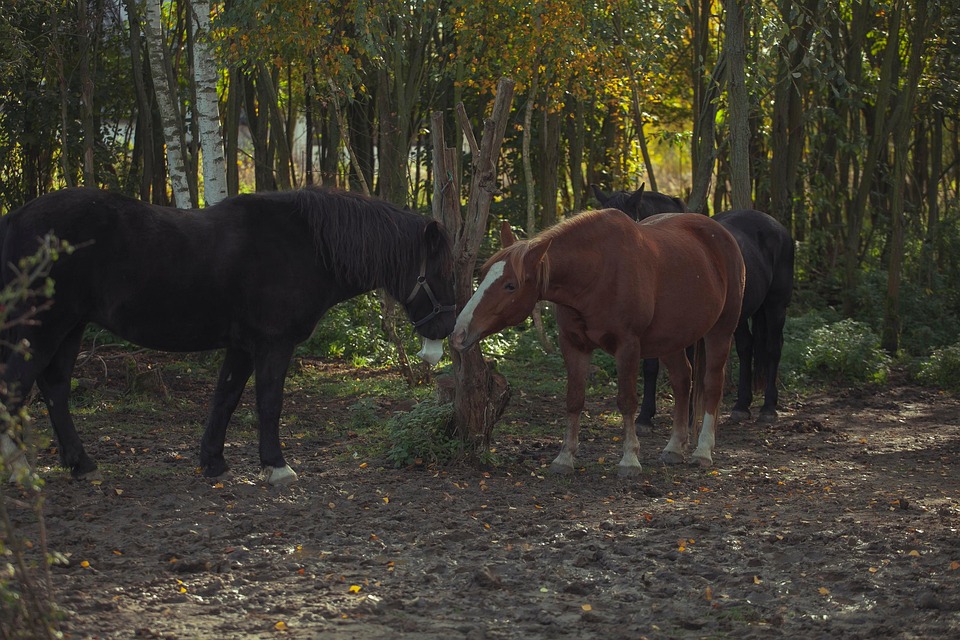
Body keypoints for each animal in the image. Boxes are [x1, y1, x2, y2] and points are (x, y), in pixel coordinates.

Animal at [0, 186, 456, 485]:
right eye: (439, 271)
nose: (446, 329)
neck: (305, 245)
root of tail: (16, 219)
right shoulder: (273, 343)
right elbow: (269, 403)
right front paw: (276, 466)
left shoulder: (242, 346)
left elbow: (226, 398)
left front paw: (213, 462)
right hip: (45, 327)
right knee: (19, 385)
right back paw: (20, 467)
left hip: (70, 327)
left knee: (54, 387)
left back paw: (80, 463)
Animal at [450, 208, 745, 474]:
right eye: (484, 273)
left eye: (510, 285)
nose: (459, 333)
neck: (597, 273)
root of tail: (723, 235)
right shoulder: (573, 345)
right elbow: (574, 399)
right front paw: (564, 458)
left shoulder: (628, 347)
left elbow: (626, 401)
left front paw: (629, 460)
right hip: (670, 338)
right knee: (683, 381)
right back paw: (674, 447)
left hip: (720, 331)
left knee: (712, 384)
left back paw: (703, 451)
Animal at [594, 185, 795, 426]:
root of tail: (776, 226)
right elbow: (651, 367)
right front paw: (644, 417)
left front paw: (686, 414)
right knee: (746, 347)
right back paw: (741, 406)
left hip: (775, 305)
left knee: (773, 347)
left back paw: (768, 408)